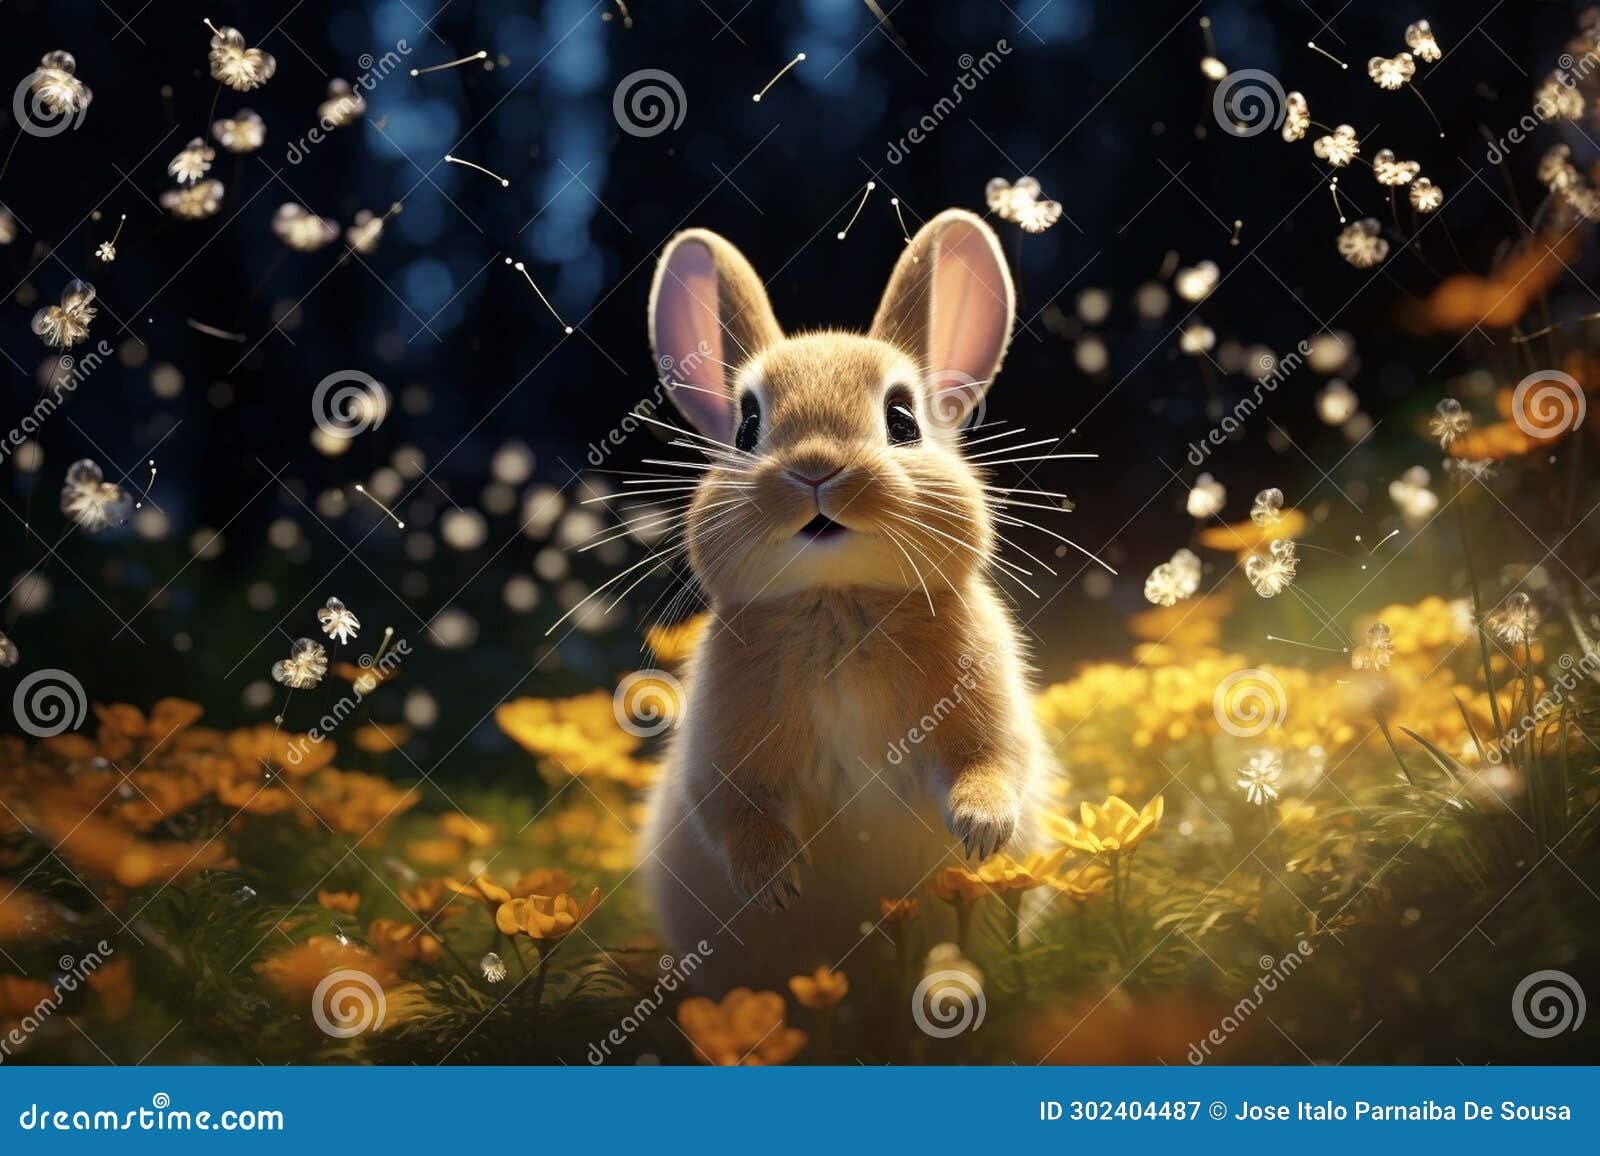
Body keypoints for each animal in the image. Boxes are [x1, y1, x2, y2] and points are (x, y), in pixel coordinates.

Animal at [639, 209, 1052, 994]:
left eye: (903, 421)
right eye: (746, 426)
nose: (814, 470)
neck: (837, 601)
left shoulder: (984, 712)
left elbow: (992, 760)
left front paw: (980, 831)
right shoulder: (725, 753)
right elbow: (731, 805)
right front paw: (776, 882)